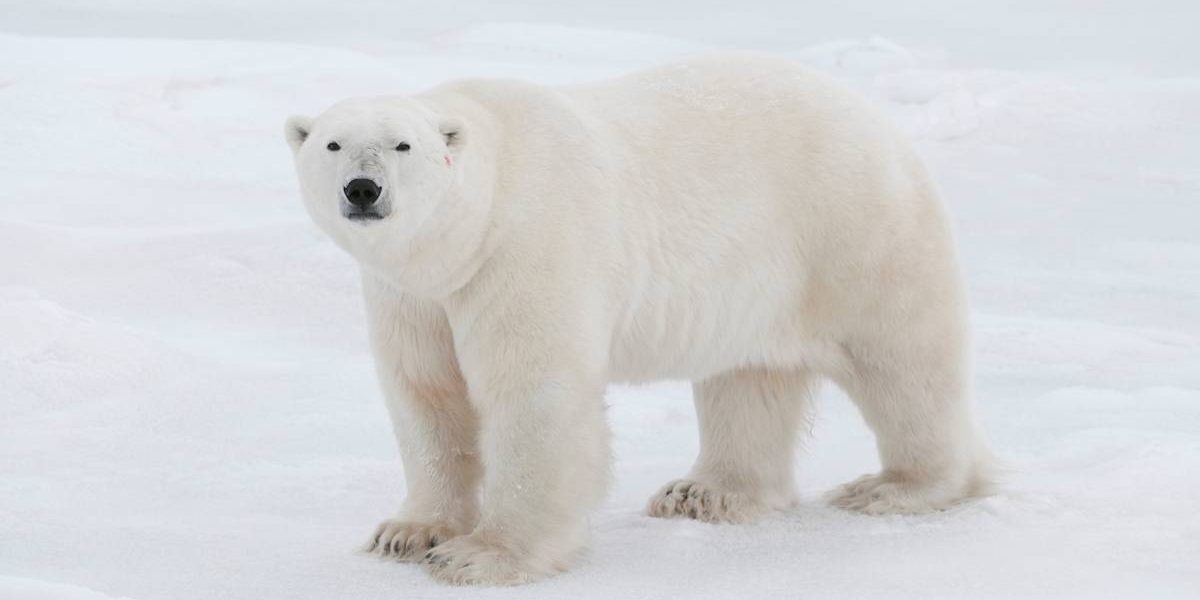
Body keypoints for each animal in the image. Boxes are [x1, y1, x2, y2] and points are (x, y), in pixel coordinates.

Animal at [284, 53, 992, 586]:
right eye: (333, 142)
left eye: (403, 145)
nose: (363, 189)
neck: (473, 226)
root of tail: (876, 119)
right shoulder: (412, 294)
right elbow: (426, 394)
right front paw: (407, 532)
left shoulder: (527, 247)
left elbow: (533, 394)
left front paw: (482, 556)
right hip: (758, 278)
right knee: (747, 379)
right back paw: (706, 493)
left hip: (851, 228)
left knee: (903, 362)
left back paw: (896, 488)